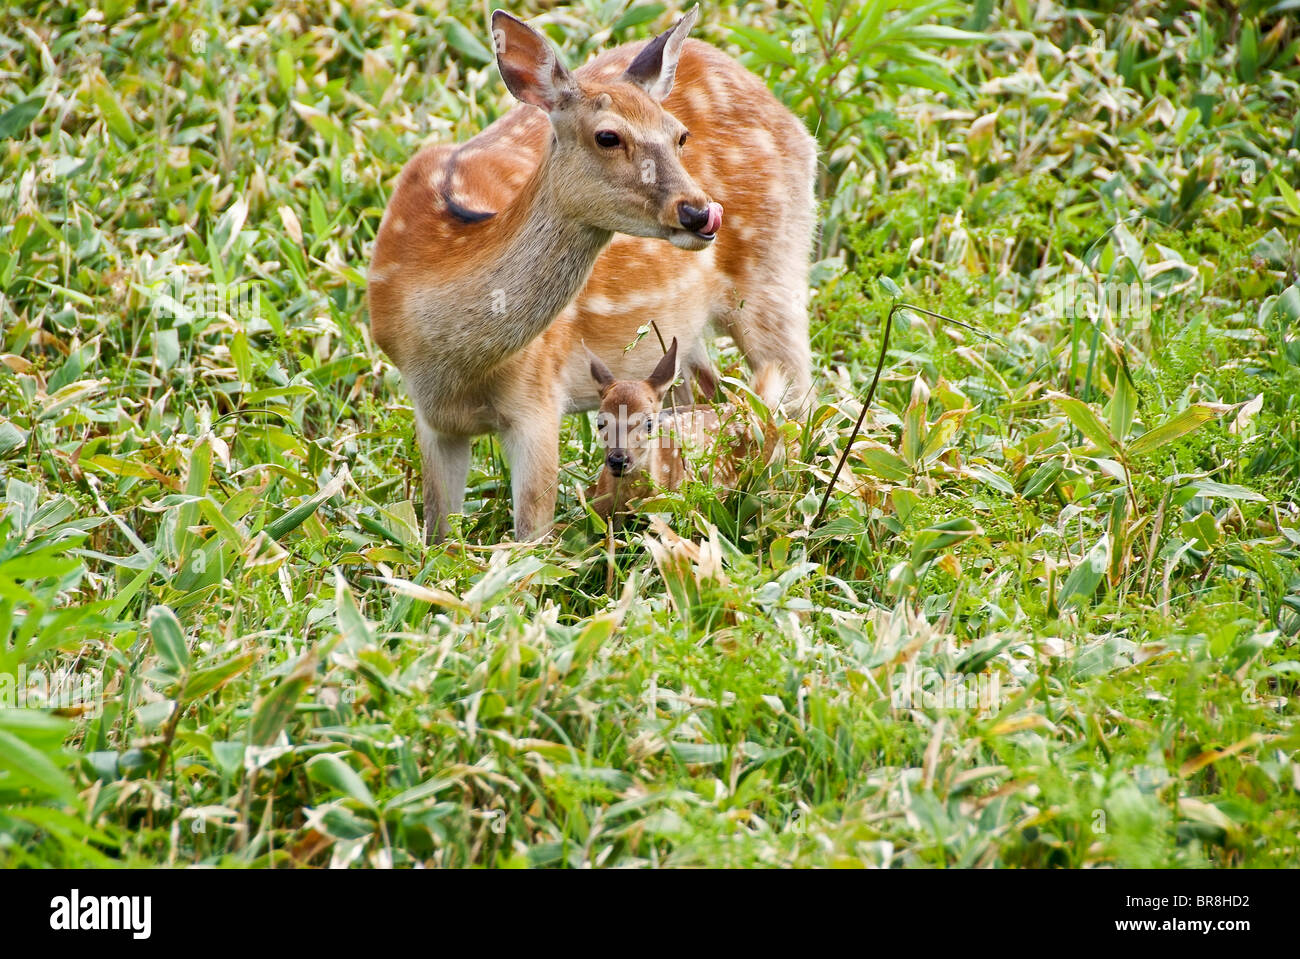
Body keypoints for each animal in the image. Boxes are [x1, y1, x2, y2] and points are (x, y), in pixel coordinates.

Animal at [367, 6, 816, 542]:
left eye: (679, 134)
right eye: (607, 136)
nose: (702, 213)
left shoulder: (539, 396)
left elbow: (530, 538)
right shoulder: (430, 417)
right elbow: (436, 536)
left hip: (776, 269)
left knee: (800, 403)